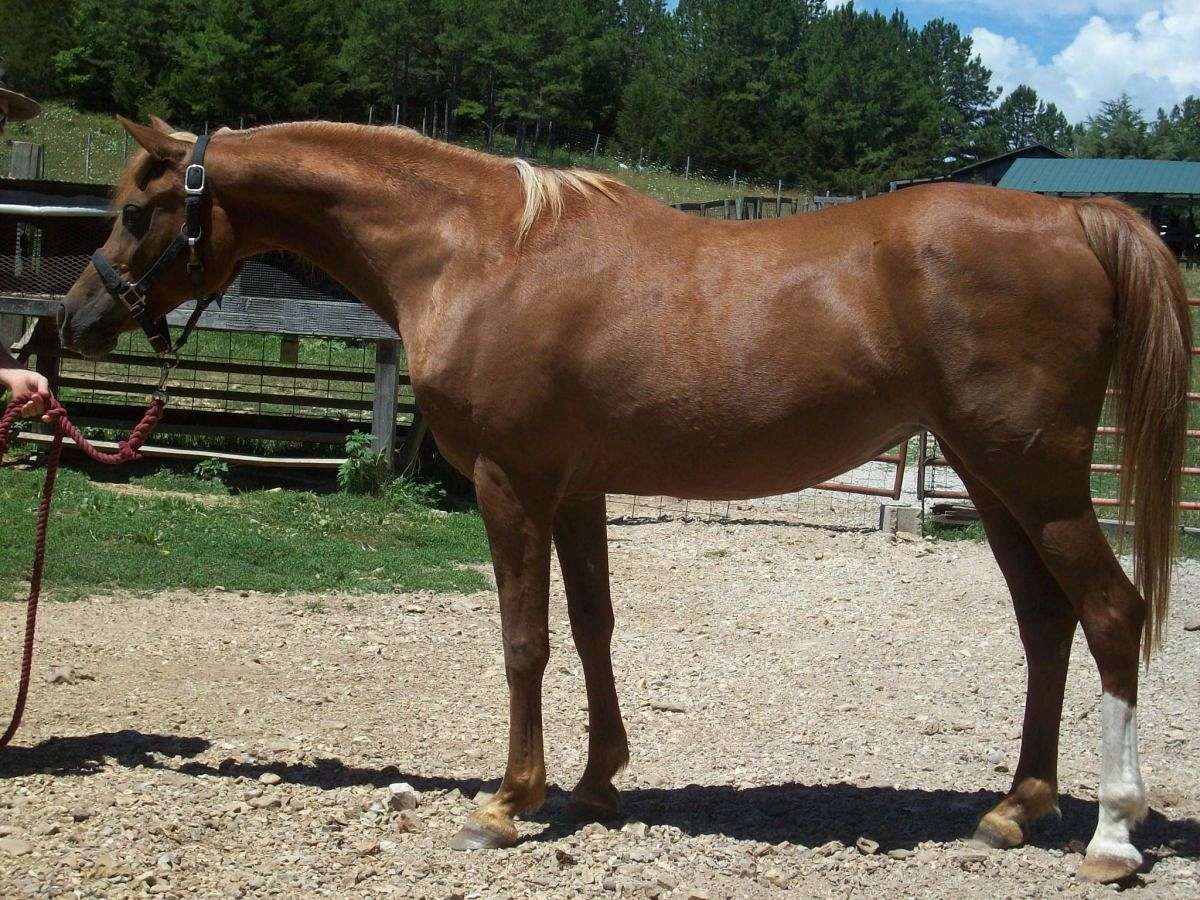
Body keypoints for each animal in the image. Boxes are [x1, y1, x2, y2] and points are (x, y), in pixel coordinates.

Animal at [58, 117, 1191, 883]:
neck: (481, 251)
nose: (69, 322)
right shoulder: (577, 488)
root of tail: (1077, 218)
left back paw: (1111, 834)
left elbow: (525, 639)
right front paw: (599, 783)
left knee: (1110, 613)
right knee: (1045, 626)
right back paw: (1017, 808)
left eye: (134, 212)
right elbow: (595, 627)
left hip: (1036, 480)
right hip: (993, 479)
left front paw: (508, 803)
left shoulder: (511, 483)